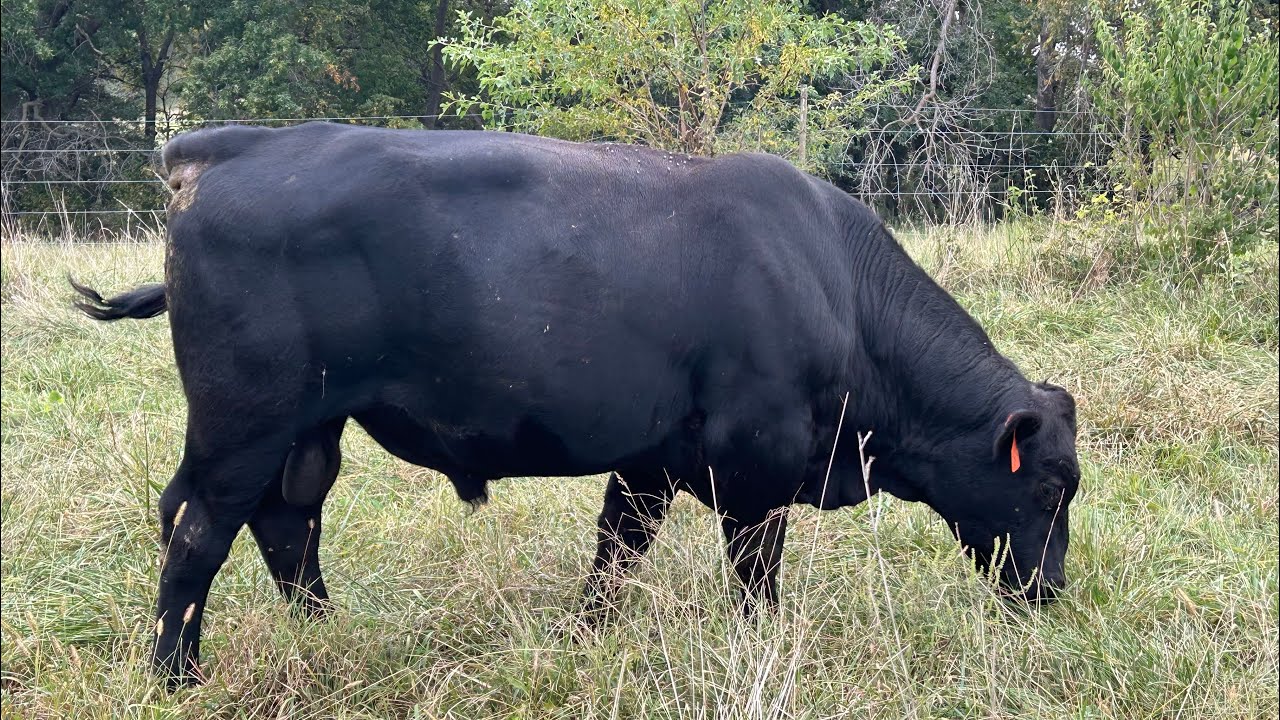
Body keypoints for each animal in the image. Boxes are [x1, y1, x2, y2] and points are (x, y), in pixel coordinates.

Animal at [72, 122, 1080, 687]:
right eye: (1047, 489)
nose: (1052, 594)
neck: (833, 283)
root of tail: (226, 145)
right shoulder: (757, 466)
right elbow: (754, 578)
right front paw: (759, 649)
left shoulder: (649, 463)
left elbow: (615, 553)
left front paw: (584, 636)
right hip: (245, 421)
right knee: (200, 532)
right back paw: (176, 677)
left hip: (301, 430)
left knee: (282, 522)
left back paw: (329, 635)